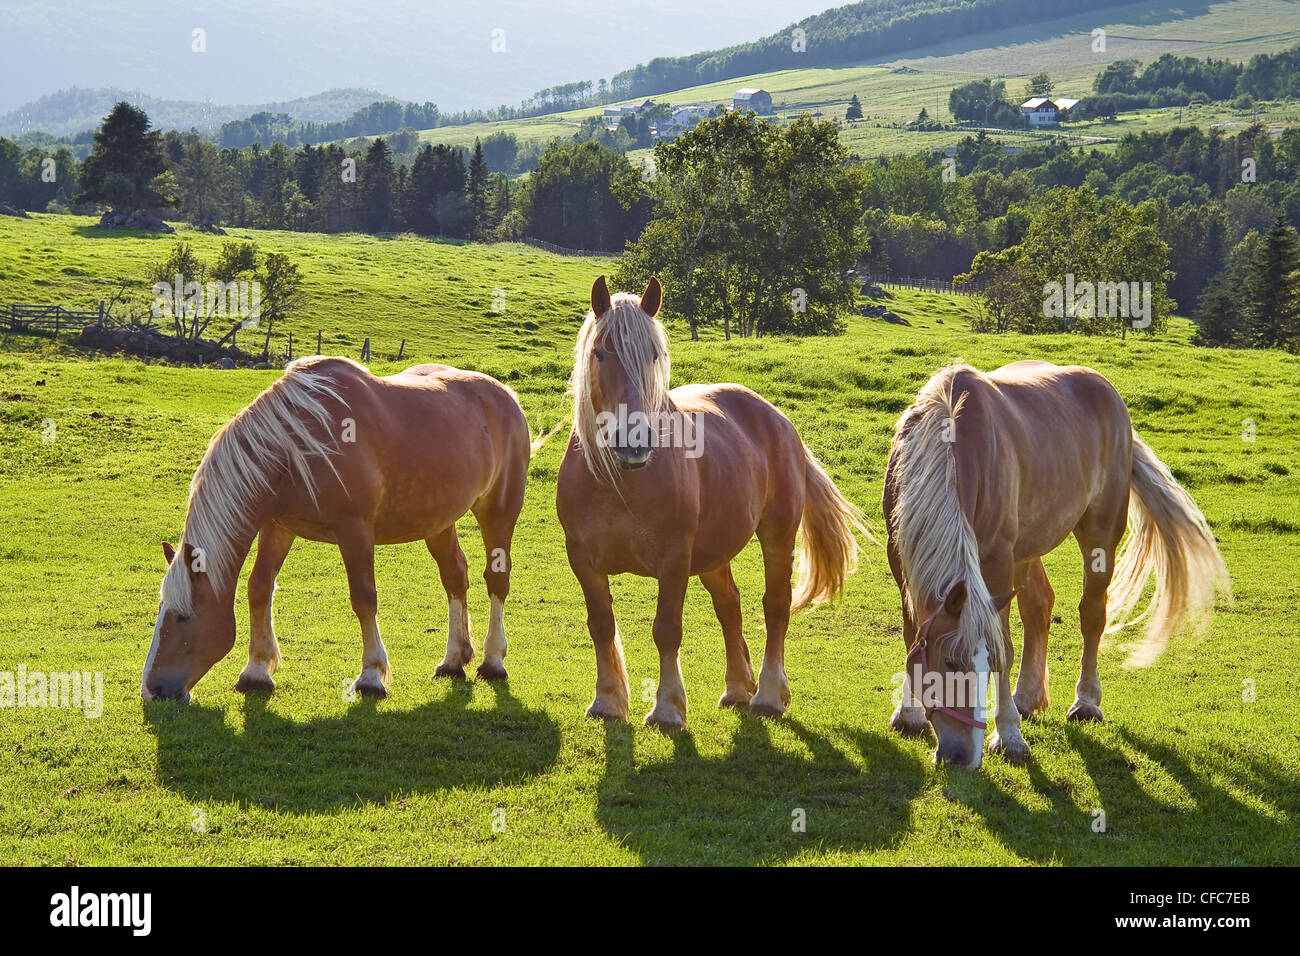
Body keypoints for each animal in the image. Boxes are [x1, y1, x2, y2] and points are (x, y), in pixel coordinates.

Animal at [142, 356, 530, 701]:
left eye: (183, 617)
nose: (151, 690)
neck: (294, 444)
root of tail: (505, 394)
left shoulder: (354, 531)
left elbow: (364, 597)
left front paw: (371, 676)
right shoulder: (277, 526)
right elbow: (259, 588)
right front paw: (256, 671)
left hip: (499, 511)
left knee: (497, 579)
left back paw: (493, 661)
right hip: (438, 521)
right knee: (455, 576)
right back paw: (453, 660)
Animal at [555, 275, 874, 732]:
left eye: (654, 354)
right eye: (600, 353)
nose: (634, 441)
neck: (620, 483)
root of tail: (776, 417)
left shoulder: (673, 559)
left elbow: (667, 630)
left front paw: (668, 709)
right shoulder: (582, 558)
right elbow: (601, 625)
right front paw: (608, 702)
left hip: (776, 535)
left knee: (775, 606)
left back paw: (768, 696)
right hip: (711, 555)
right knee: (730, 606)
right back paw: (738, 688)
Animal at [883, 360, 1230, 768]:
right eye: (949, 665)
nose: (960, 755)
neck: (951, 441)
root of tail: (1107, 391)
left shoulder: (997, 560)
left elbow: (1005, 647)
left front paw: (1009, 736)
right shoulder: (899, 555)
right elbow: (912, 633)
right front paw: (908, 715)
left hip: (1098, 533)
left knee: (1092, 613)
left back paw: (1086, 701)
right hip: (1025, 549)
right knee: (1038, 605)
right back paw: (1027, 697)